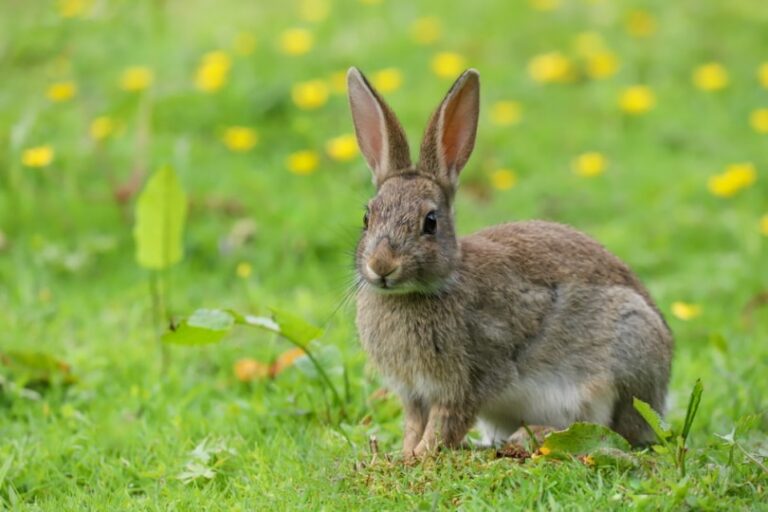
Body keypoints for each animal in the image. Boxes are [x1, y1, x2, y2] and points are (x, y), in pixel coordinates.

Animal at [346, 66, 673, 458]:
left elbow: (442, 426)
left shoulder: (466, 382)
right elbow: (414, 424)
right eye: (367, 218)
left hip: (627, 349)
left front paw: (420, 457)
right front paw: (403, 455)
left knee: (611, 430)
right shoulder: (413, 393)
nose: (381, 266)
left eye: (430, 222)